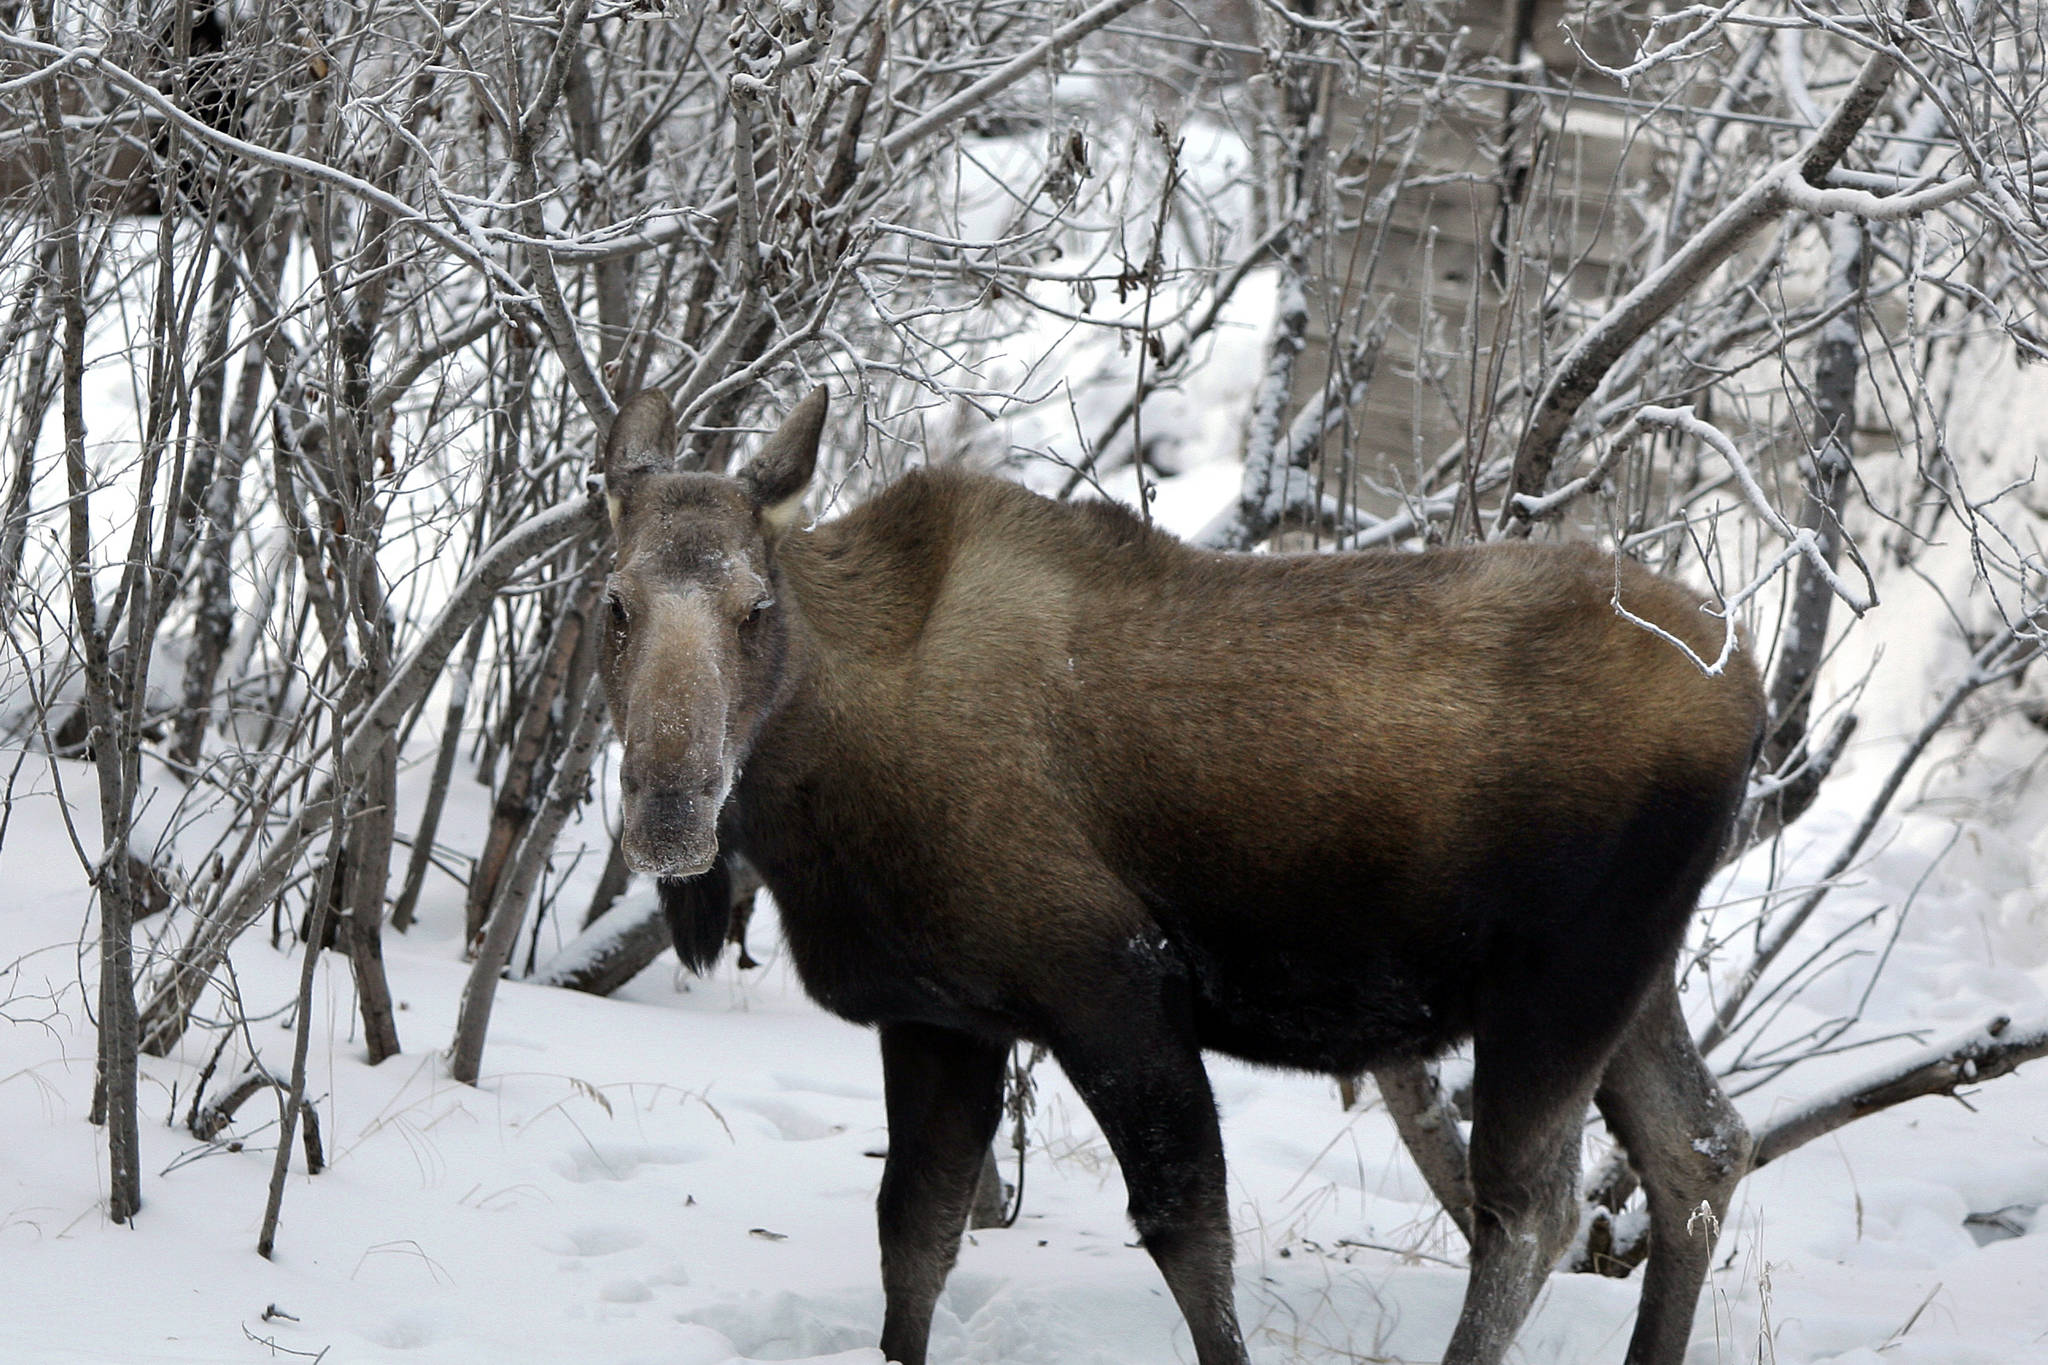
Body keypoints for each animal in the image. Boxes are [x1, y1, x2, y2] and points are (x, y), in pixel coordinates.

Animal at [596, 383, 1765, 1365]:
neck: (823, 784)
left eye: (755, 608)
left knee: (1533, 1213)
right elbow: (914, 1234)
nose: (669, 811)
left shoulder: (1111, 980)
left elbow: (1185, 1231)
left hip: (1559, 988)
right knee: (1699, 1147)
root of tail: (1751, 693)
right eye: (613, 603)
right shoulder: (941, 1017)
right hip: (1632, 977)